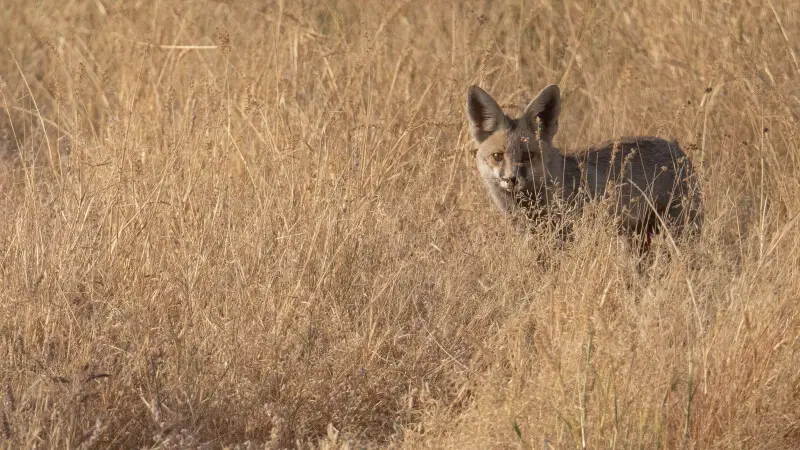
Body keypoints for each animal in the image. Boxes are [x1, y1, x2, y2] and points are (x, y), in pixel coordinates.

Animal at [466, 84, 702, 250]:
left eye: (528, 156)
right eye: (497, 156)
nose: (512, 179)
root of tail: (675, 147)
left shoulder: (567, 234)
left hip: (678, 232)